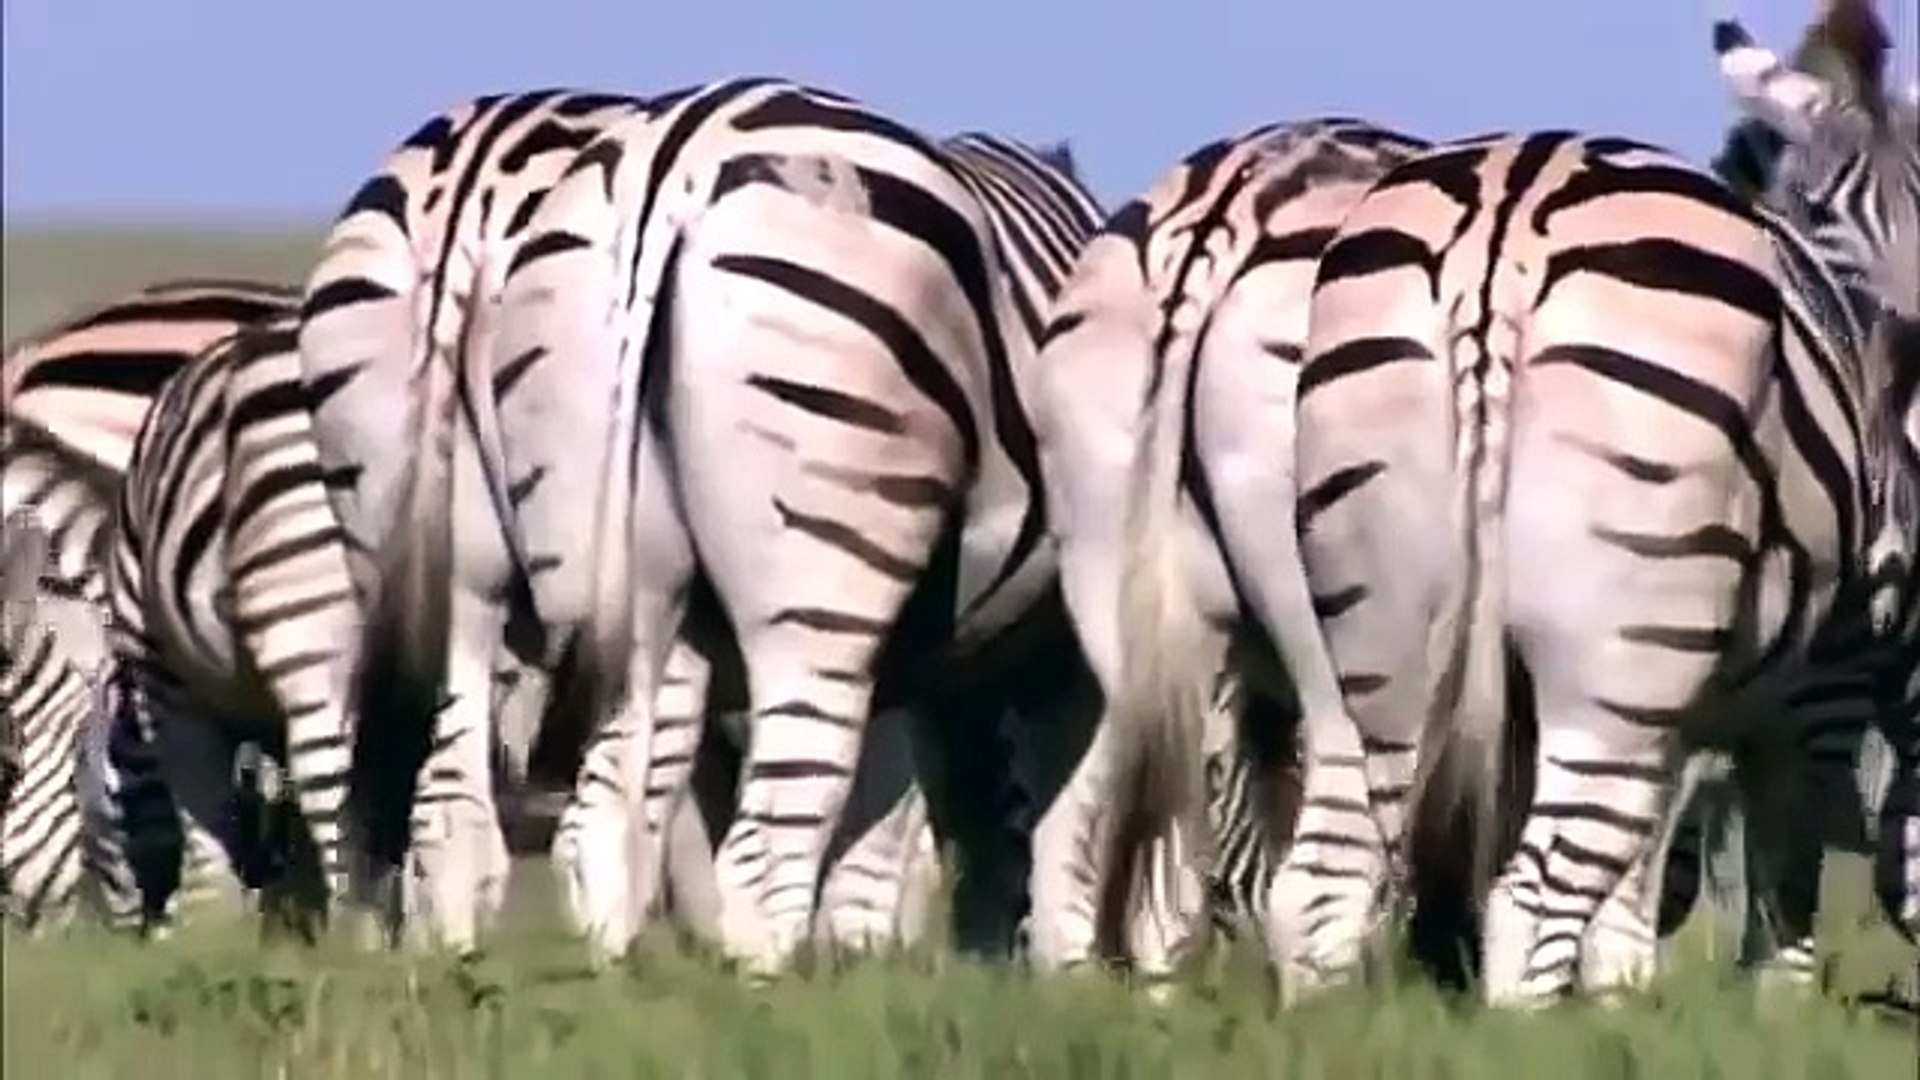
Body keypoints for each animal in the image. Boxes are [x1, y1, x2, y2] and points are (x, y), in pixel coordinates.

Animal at [476, 77, 1102, 975]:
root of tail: (677, 153)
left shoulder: (918, 665)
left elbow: (892, 823)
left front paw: (875, 960)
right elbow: (1074, 822)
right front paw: (1083, 974)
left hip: (611, 564)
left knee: (604, 819)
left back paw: (624, 986)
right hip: (822, 573)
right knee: (761, 848)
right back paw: (768, 997)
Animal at [1286, 34, 1915, 1006]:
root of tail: (1507, 213)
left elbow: (1646, 884)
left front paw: (1624, 1000)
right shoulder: (1828, 681)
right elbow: (1783, 892)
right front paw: (1765, 1009)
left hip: (1378, 629)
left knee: (1347, 873)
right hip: (1620, 654)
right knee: (1529, 896)